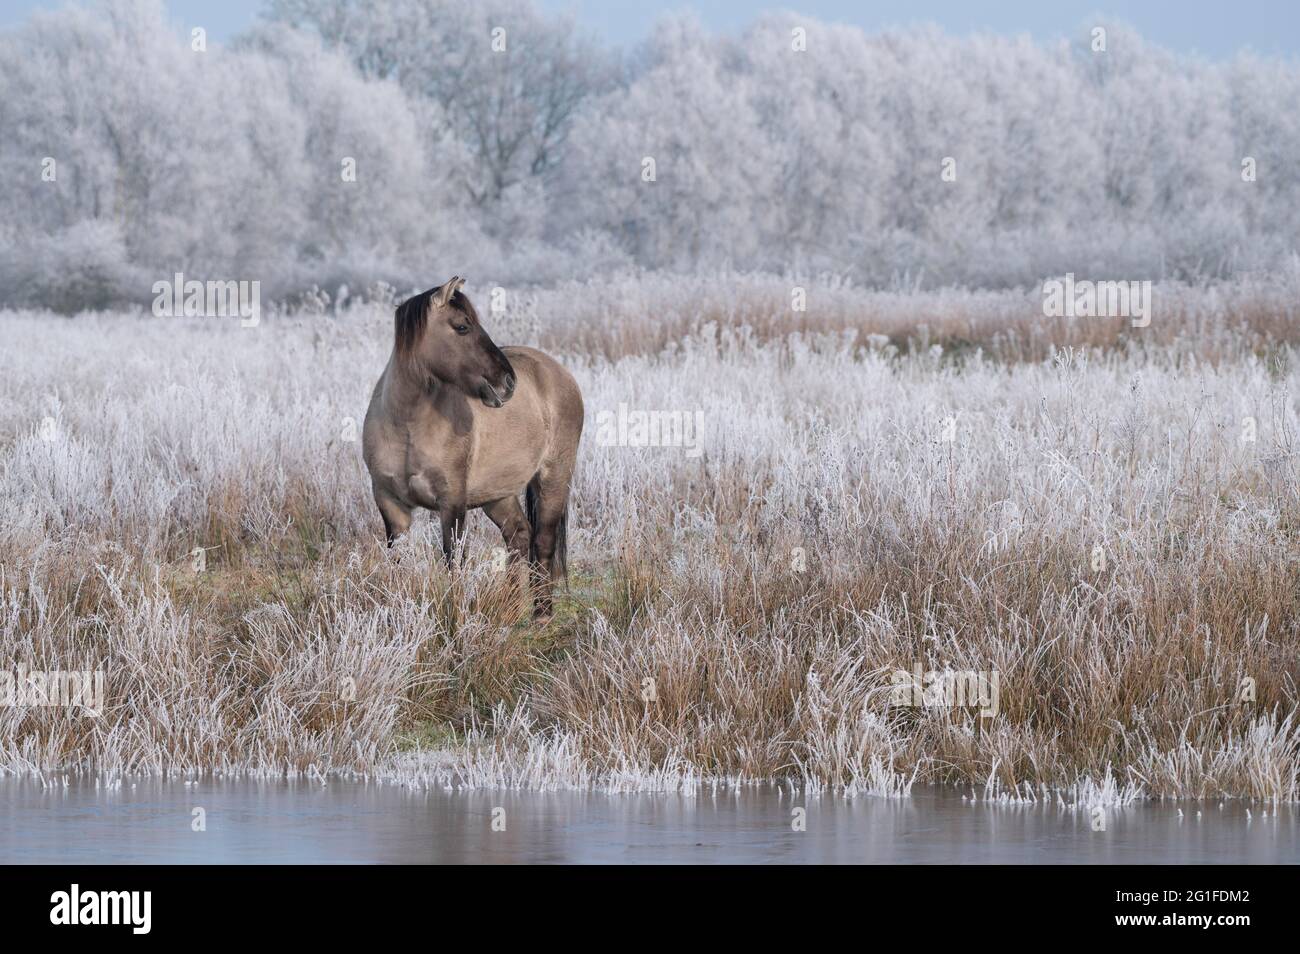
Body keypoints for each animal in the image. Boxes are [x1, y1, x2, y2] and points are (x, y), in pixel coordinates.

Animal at [362, 277, 583, 621]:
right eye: (462, 327)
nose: (508, 382)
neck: (406, 426)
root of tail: (557, 373)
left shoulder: (452, 502)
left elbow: (454, 562)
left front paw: (454, 614)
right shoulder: (390, 503)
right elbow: (398, 561)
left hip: (554, 478)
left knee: (543, 541)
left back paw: (542, 613)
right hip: (497, 494)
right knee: (519, 534)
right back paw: (510, 605)